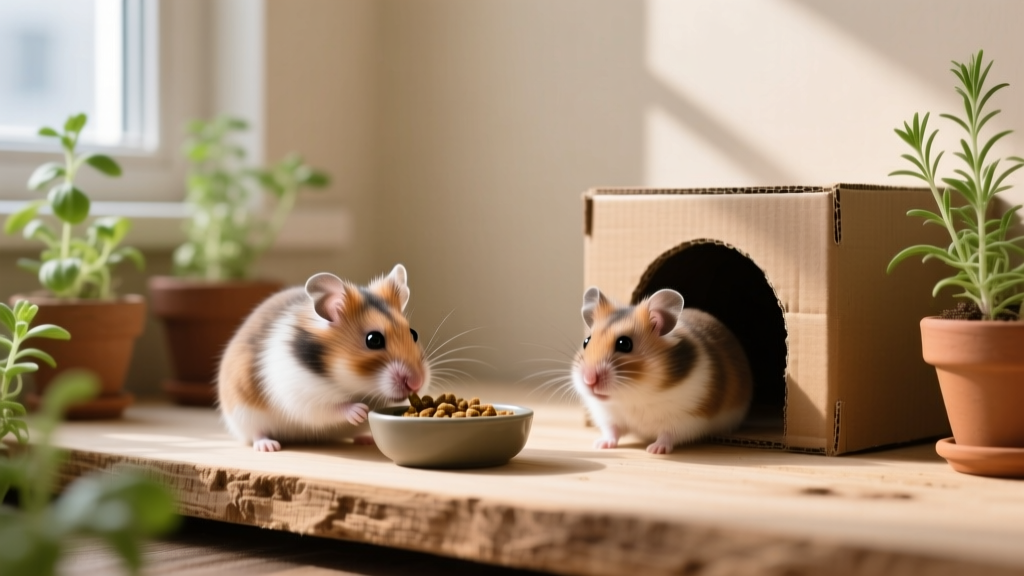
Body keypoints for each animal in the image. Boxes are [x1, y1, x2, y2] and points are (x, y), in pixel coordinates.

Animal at [218, 264, 430, 452]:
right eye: (373, 340)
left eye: (413, 334)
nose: (417, 382)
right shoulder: (299, 394)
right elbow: (328, 408)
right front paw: (360, 412)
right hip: (243, 416)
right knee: (256, 433)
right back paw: (269, 446)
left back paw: (365, 440)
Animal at [571, 287, 752, 454]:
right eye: (586, 342)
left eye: (624, 344)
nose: (588, 380)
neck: (634, 397)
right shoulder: (608, 415)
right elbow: (612, 431)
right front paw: (600, 445)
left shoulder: (685, 418)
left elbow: (668, 435)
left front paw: (654, 450)